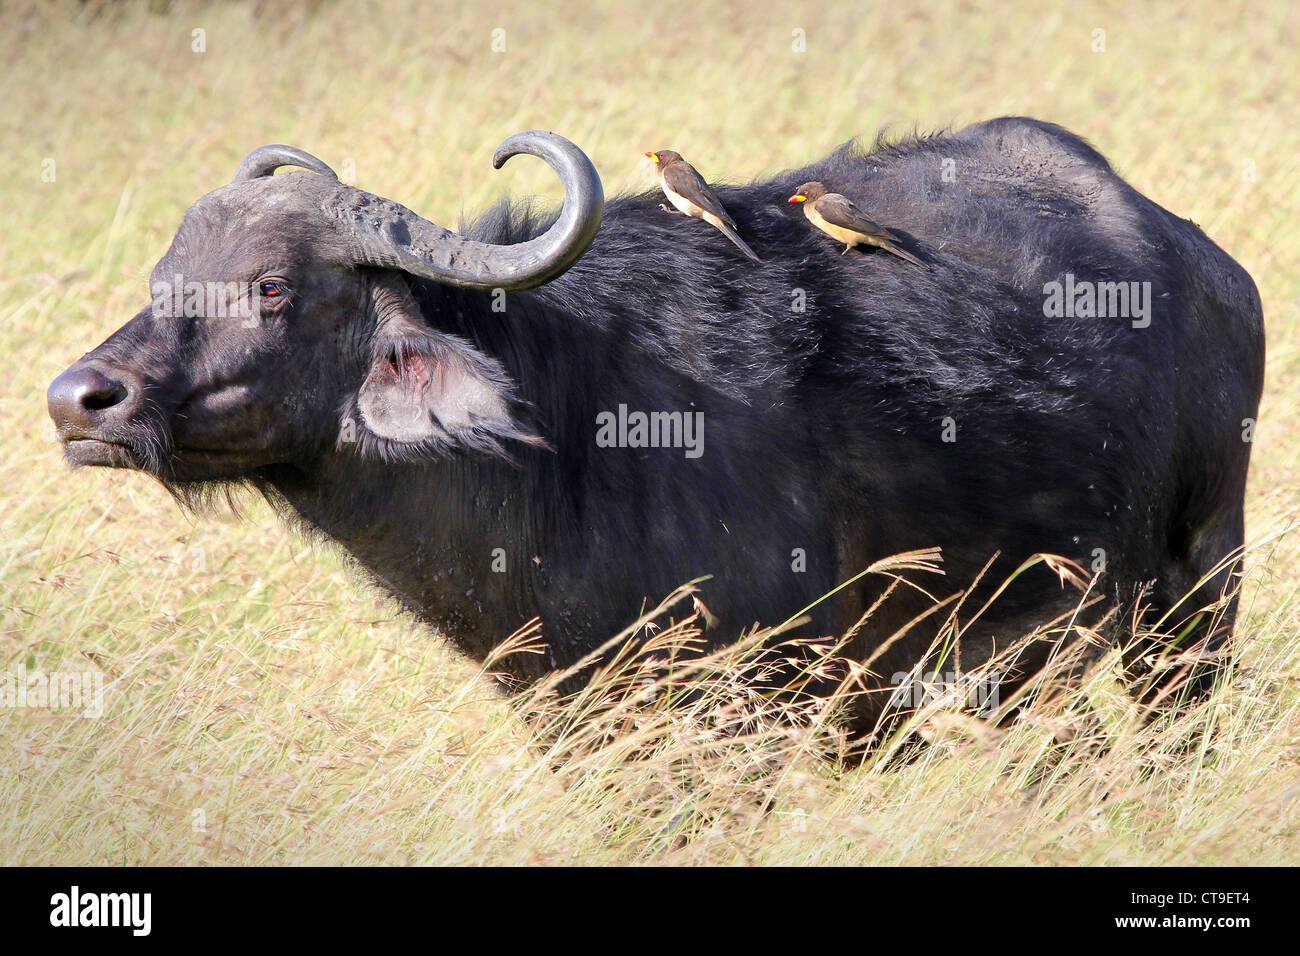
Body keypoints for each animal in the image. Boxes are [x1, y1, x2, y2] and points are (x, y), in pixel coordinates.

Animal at [47, 117, 1264, 731]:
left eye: (271, 288)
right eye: (165, 275)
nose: (79, 401)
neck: (569, 431)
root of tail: (1205, 264)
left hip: (1193, 597)